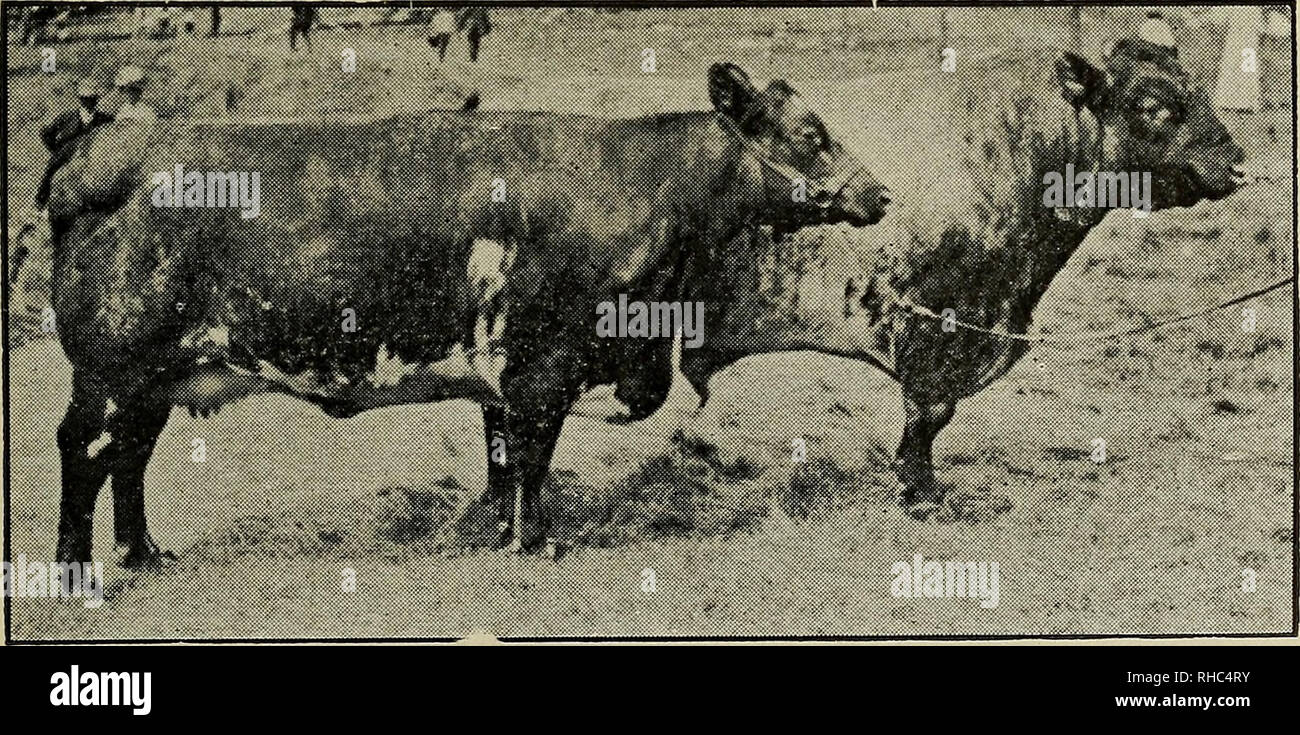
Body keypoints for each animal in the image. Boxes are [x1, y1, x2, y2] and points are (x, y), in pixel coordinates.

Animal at [46, 63, 891, 566]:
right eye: (810, 134)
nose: (879, 193)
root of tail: (99, 147)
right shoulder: (545, 364)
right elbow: (534, 454)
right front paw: (536, 543)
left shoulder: (511, 373)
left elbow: (505, 456)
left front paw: (501, 533)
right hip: (110, 371)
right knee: (85, 452)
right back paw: (80, 568)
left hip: (153, 380)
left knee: (130, 457)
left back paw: (145, 553)